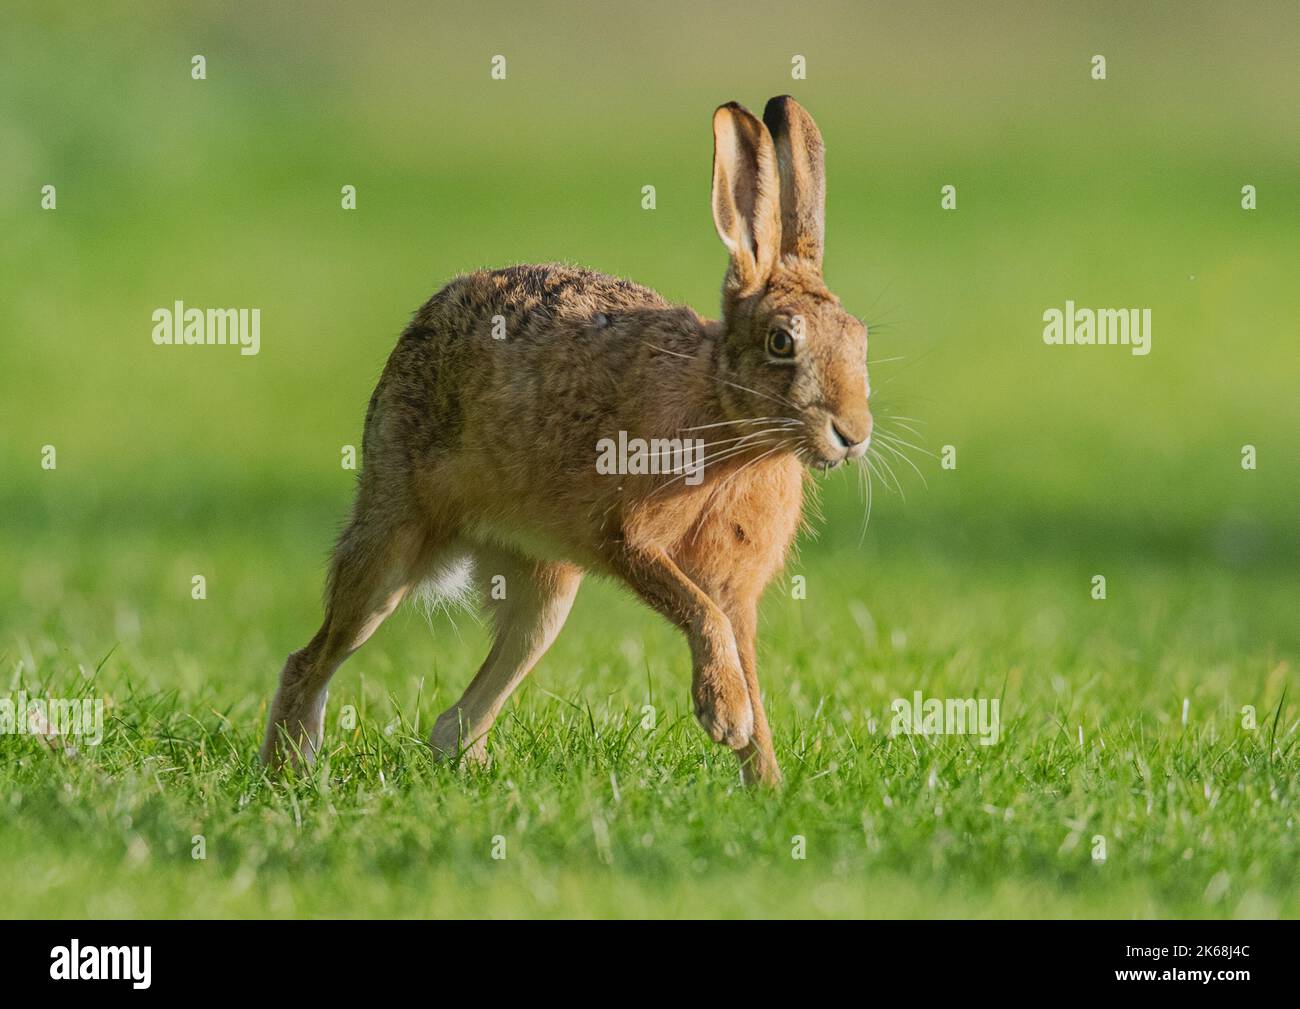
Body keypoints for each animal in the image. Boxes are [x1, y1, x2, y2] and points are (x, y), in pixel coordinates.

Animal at [260, 95, 872, 787]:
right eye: (781, 342)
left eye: (859, 339)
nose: (854, 434)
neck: (728, 420)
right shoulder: (630, 538)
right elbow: (702, 616)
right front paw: (725, 719)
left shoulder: (736, 589)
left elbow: (744, 661)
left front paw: (763, 780)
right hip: (393, 541)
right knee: (311, 658)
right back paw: (287, 771)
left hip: (546, 591)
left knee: (460, 716)